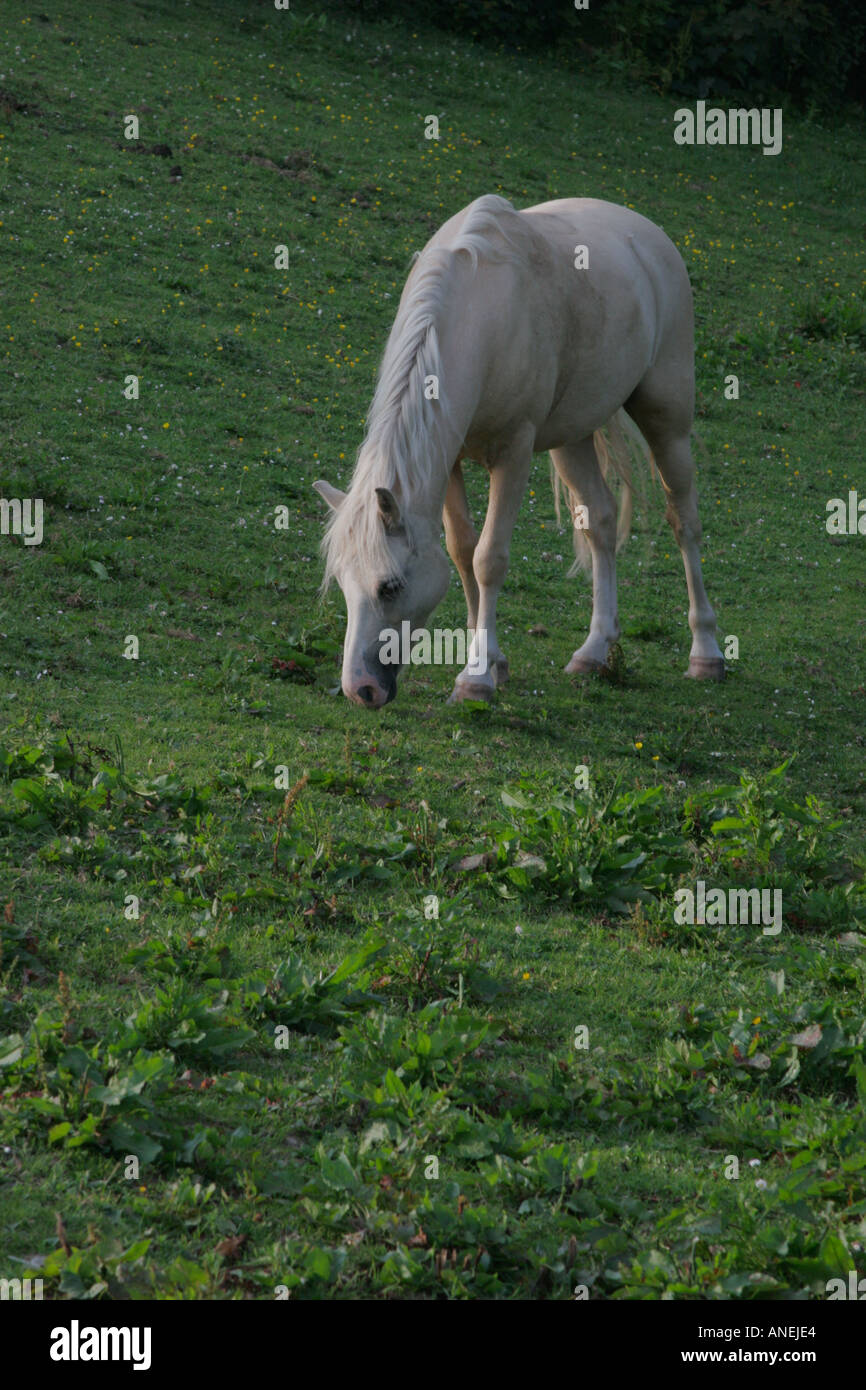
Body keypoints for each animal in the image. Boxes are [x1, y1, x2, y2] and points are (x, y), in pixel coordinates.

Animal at [314, 194, 724, 708]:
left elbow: (489, 559)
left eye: (390, 586)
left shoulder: (513, 454)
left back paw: (706, 652)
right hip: (572, 438)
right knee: (601, 521)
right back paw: (594, 650)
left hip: (667, 422)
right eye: (343, 584)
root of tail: (648, 233)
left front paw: (475, 678)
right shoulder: (448, 461)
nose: (360, 689)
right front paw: (491, 661)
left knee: (684, 520)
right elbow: (462, 551)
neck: (478, 314)